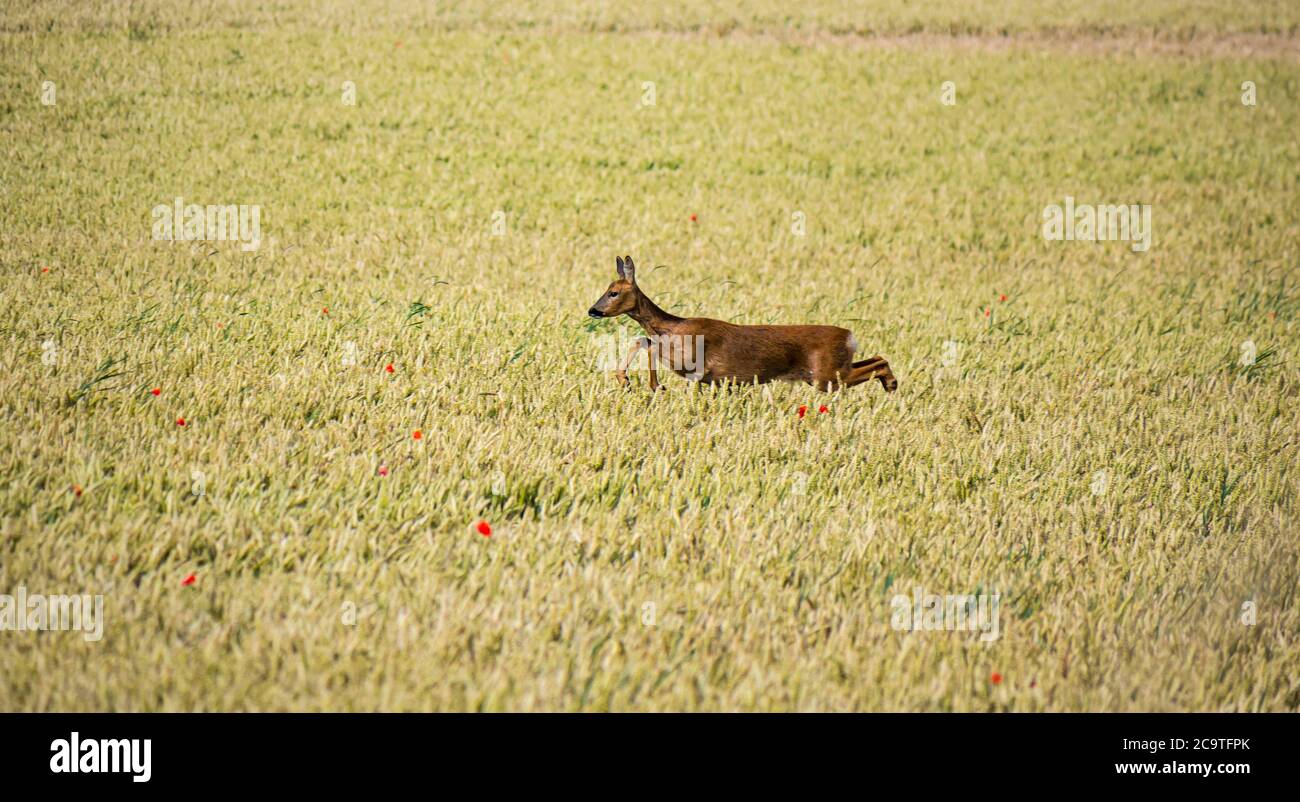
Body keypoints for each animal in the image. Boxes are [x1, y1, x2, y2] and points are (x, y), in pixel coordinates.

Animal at [588, 255, 897, 393]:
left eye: (613, 292)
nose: (593, 310)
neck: (675, 329)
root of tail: (850, 335)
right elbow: (643, 340)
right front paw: (626, 379)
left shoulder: (693, 364)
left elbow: (648, 344)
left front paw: (652, 385)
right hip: (831, 370)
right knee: (878, 356)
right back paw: (891, 383)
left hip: (827, 375)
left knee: (877, 363)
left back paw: (892, 383)